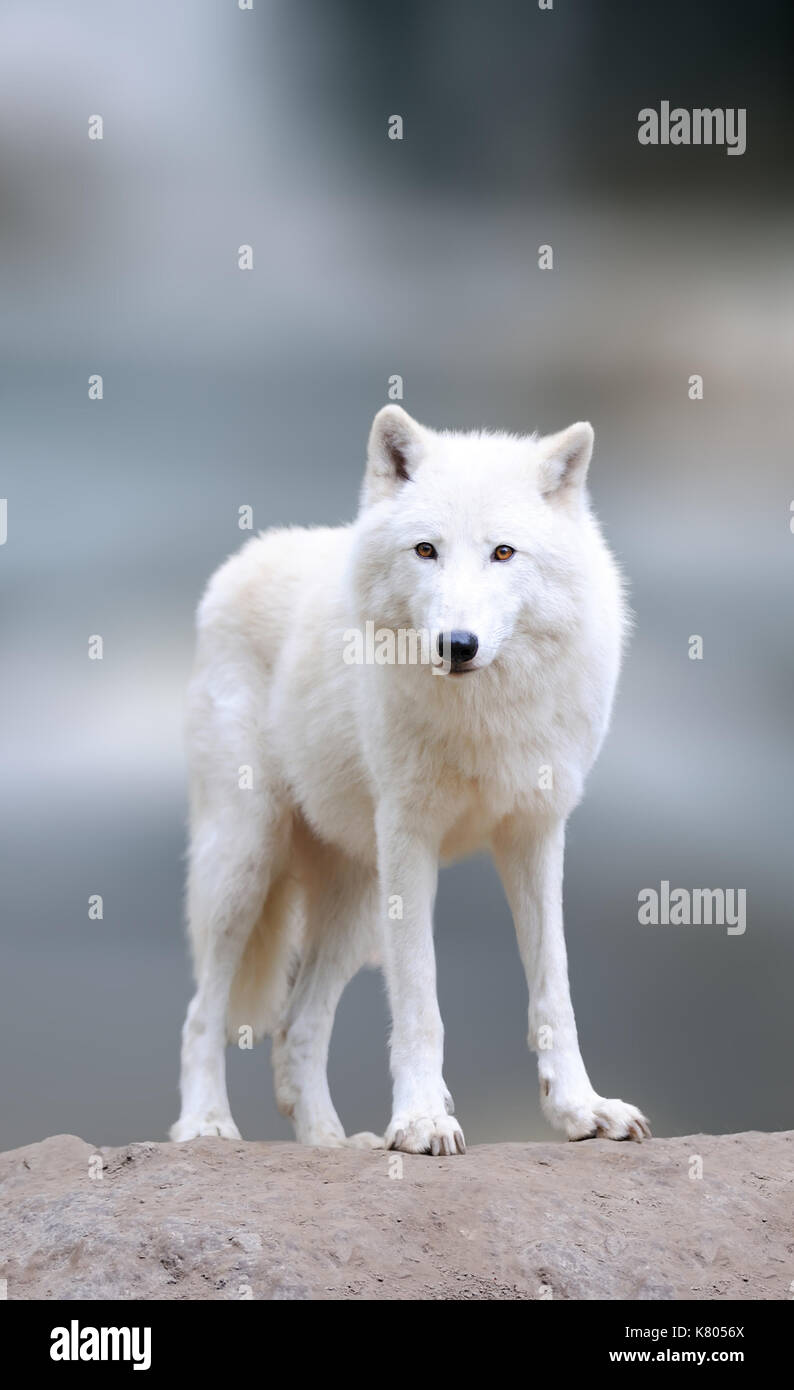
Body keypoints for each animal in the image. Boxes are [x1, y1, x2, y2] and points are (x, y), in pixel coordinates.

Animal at [171, 406, 650, 1154]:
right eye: (426, 550)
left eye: (503, 553)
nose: (457, 645)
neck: (483, 716)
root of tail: (244, 558)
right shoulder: (409, 839)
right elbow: (421, 999)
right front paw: (423, 1120)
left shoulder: (536, 833)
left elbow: (555, 990)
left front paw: (581, 1109)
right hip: (244, 865)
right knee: (203, 1012)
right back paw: (206, 1124)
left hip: (354, 902)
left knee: (296, 1028)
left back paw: (333, 1143)